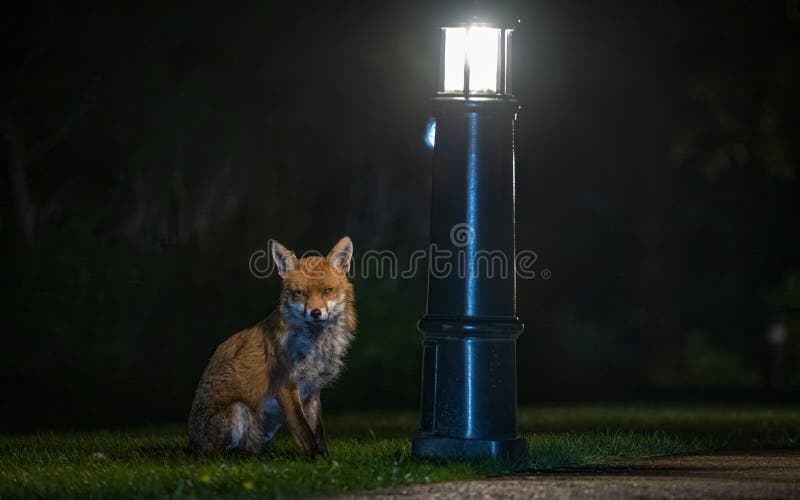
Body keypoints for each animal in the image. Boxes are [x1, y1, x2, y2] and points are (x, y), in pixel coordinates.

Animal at [188, 237, 356, 456]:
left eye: (328, 291)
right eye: (300, 293)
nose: (315, 313)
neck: (315, 346)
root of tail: (191, 444)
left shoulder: (312, 390)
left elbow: (318, 432)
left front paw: (325, 457)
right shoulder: (285, 386)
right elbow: (305, 432)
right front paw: (316, 459)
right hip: (238, 410)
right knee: (218, 454)